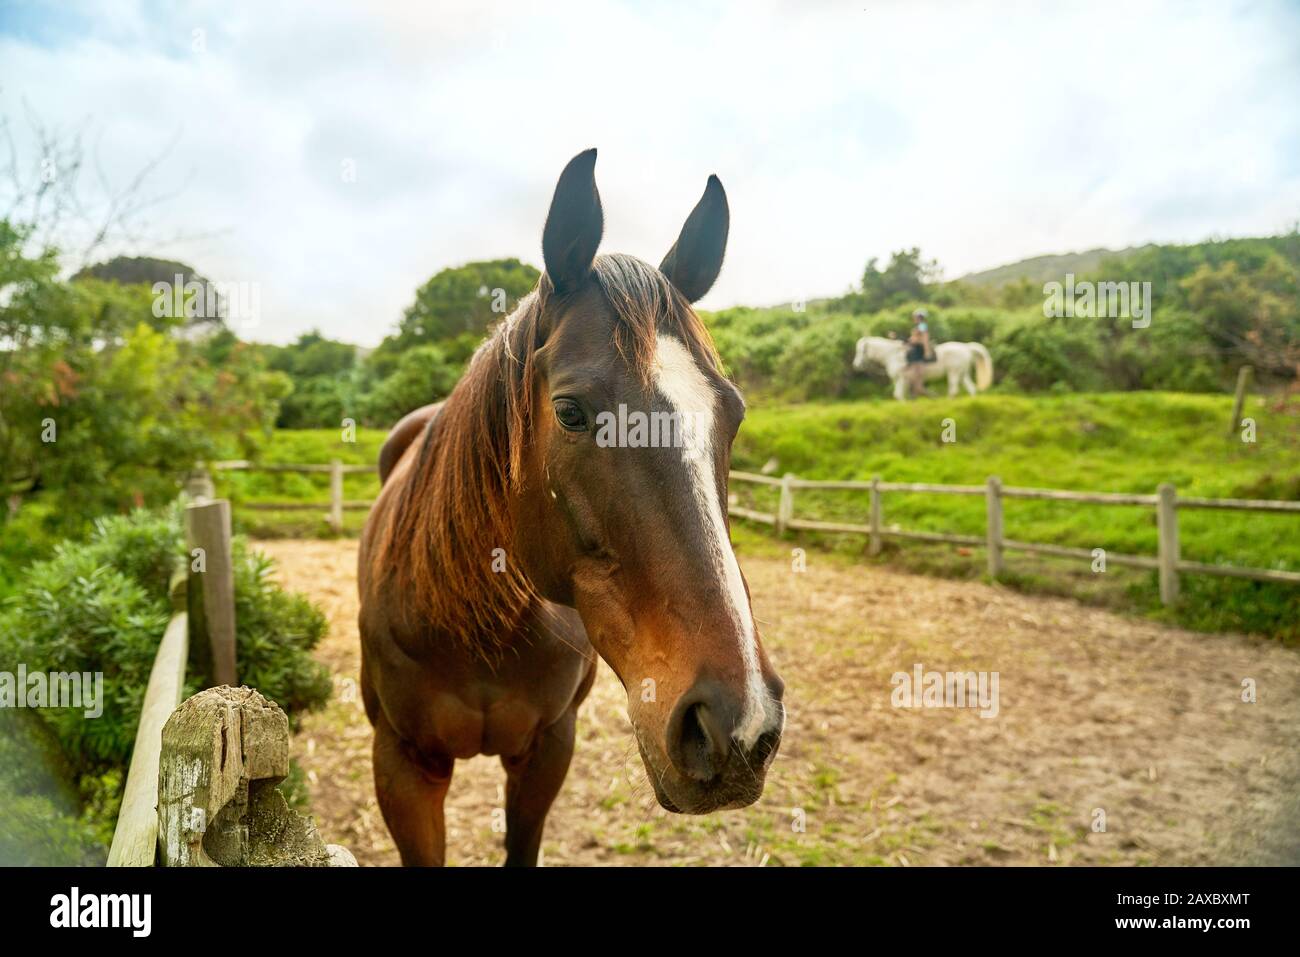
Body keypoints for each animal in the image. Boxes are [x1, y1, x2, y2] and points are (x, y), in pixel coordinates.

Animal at [852, 335, 994, 400]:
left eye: (861, 350)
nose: (856, 365)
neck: (892, 355)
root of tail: (966, 347)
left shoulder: (902, 378)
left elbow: (898, 395)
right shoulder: (904, 380)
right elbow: (901, 394)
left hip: (953, 372)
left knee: (954, 389)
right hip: (962, 373)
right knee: (971, 388)